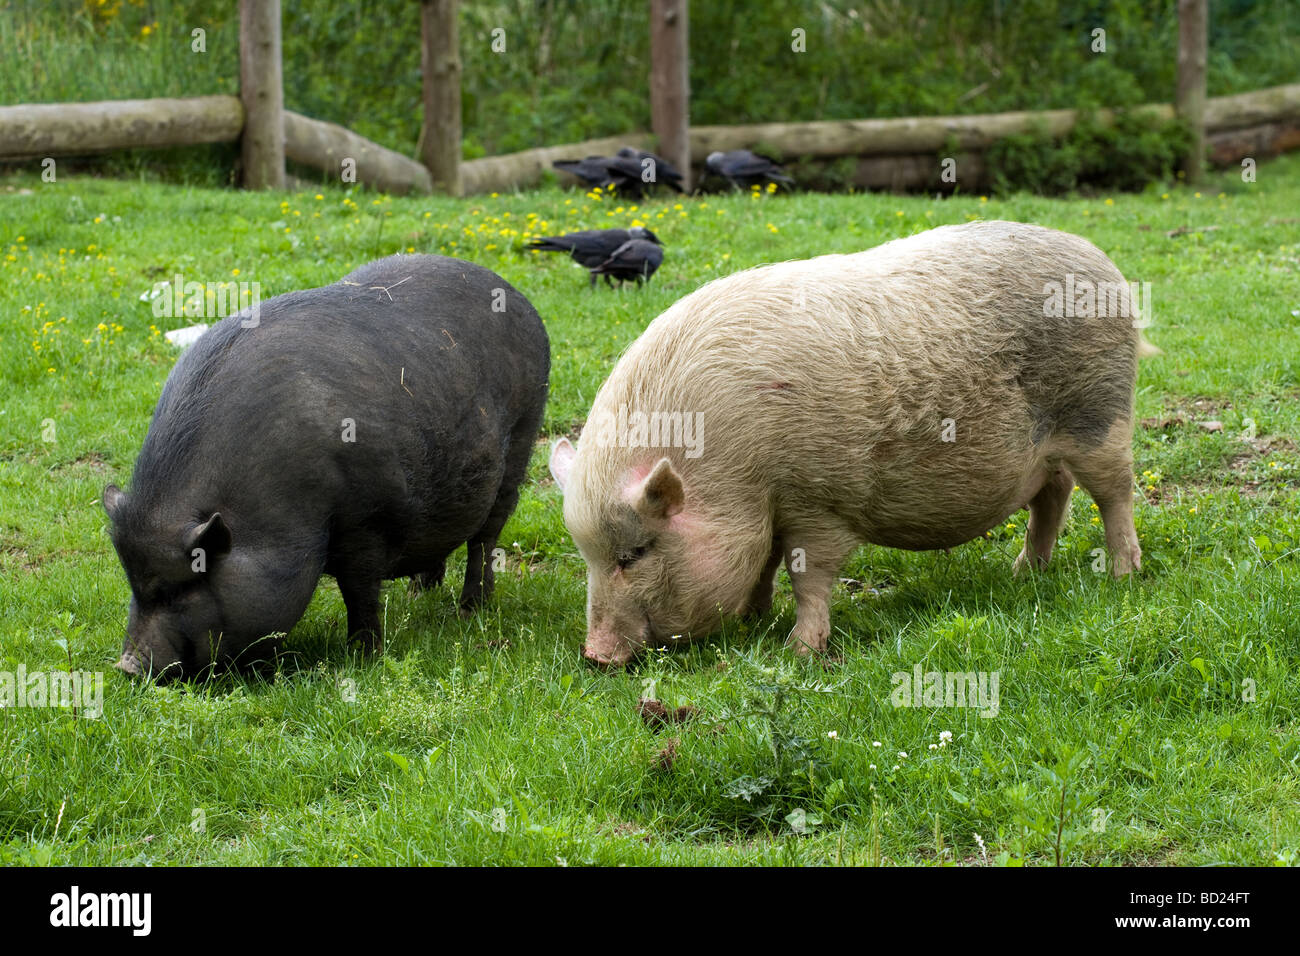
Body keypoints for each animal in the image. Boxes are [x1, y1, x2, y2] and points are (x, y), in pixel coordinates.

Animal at [104, 254, 550, 681]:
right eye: (133, 584)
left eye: (184, 587)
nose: (127, 665)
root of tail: (519, 298)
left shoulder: (369, 519)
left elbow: (359, 591)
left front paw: (362, 657)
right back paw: (418, 595)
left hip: (523, 433)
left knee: (486, 537)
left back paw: (470, 610)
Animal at [549, 221, 1155, 666]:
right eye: (588, 557)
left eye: (634, 553)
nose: (595, 656)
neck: (730, 473)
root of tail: (1105, 266)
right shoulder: (772, 509)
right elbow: (765, 561)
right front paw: (751, 620)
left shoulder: (820, 500)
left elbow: (808, 574)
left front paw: (799, 652)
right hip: (1048, 447)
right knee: (1054, 493)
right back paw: (1024, 573)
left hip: (1101, 414)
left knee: (1114, 492)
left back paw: (1123, 575)